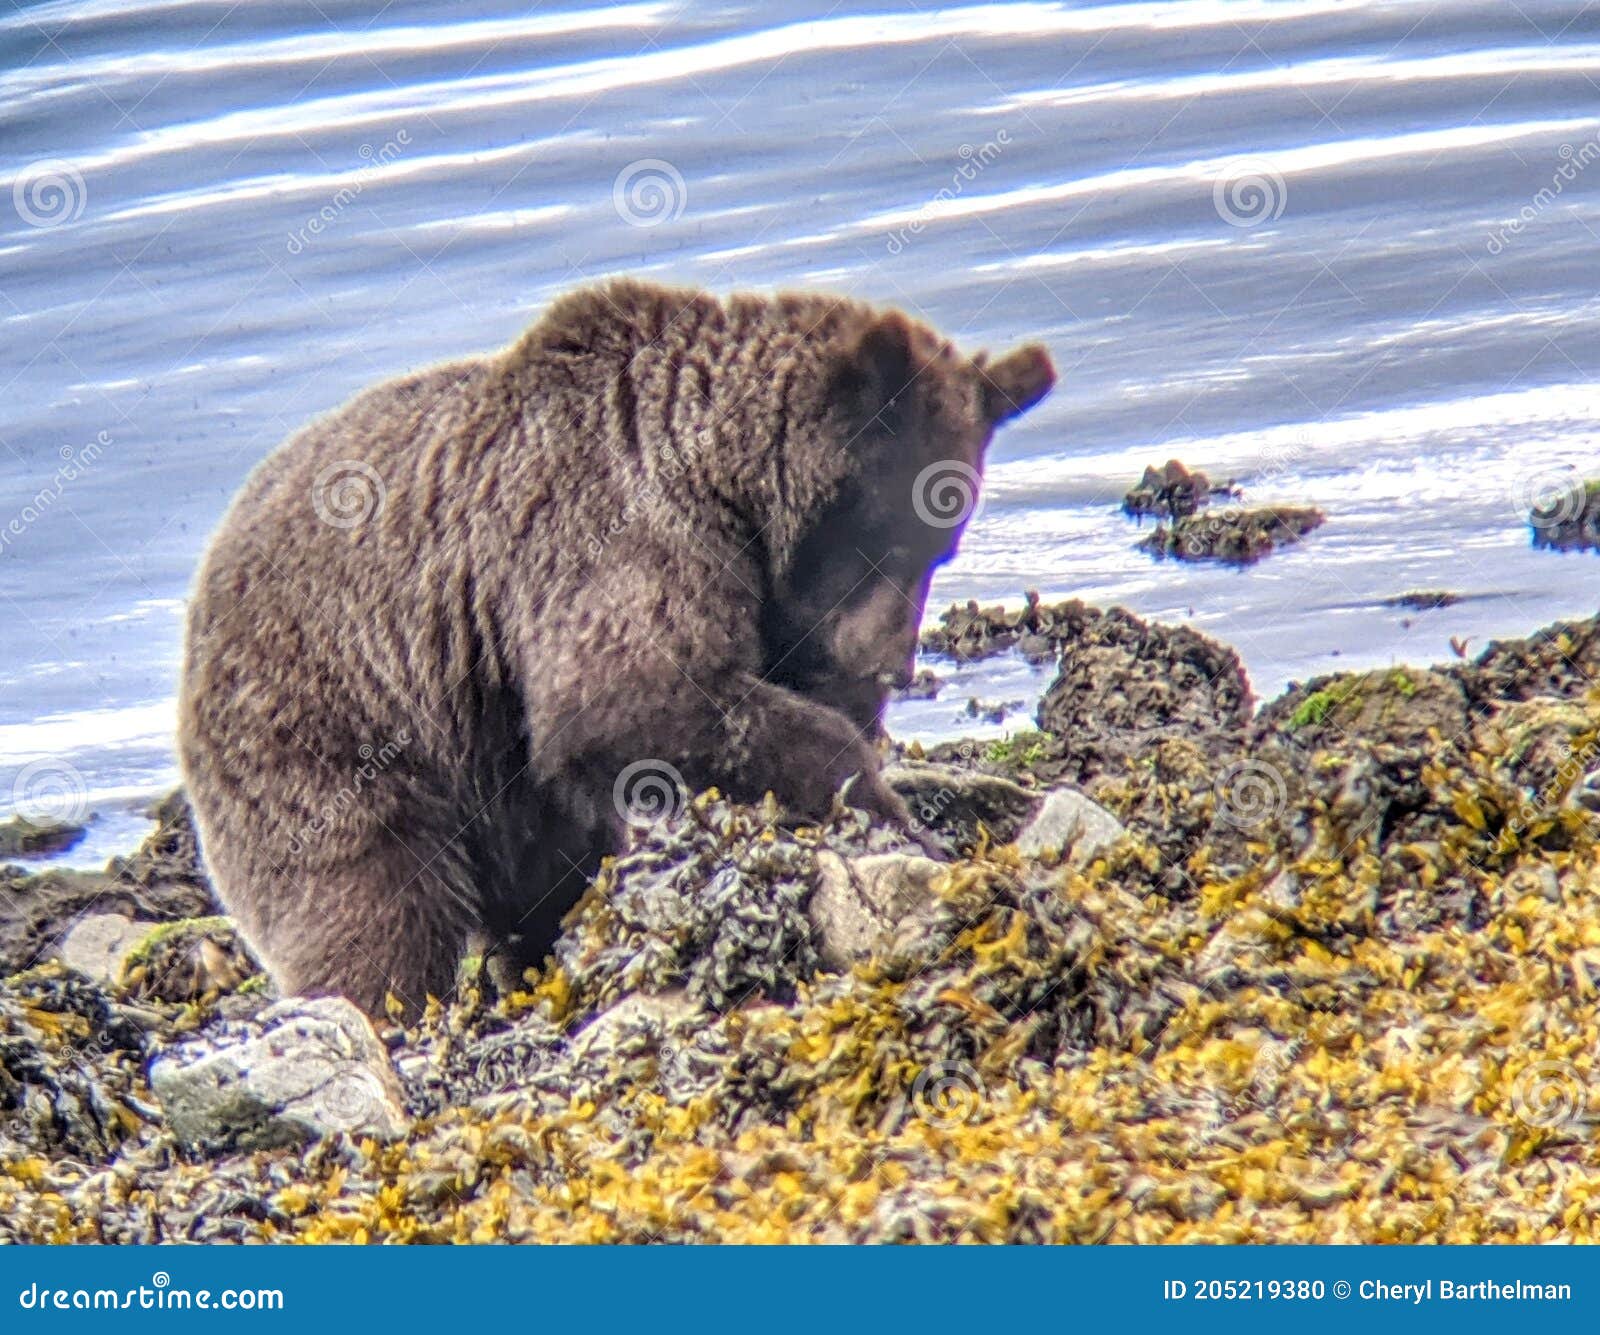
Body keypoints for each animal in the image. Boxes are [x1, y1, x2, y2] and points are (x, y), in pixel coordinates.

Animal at [178, 278, 1054, 1017]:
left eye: (943, 545)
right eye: (888, 536)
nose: (889, 667)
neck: (723, 478)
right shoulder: (613, 527)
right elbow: (626, 692)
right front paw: (880, 800)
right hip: (328, 727)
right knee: (375, 900)